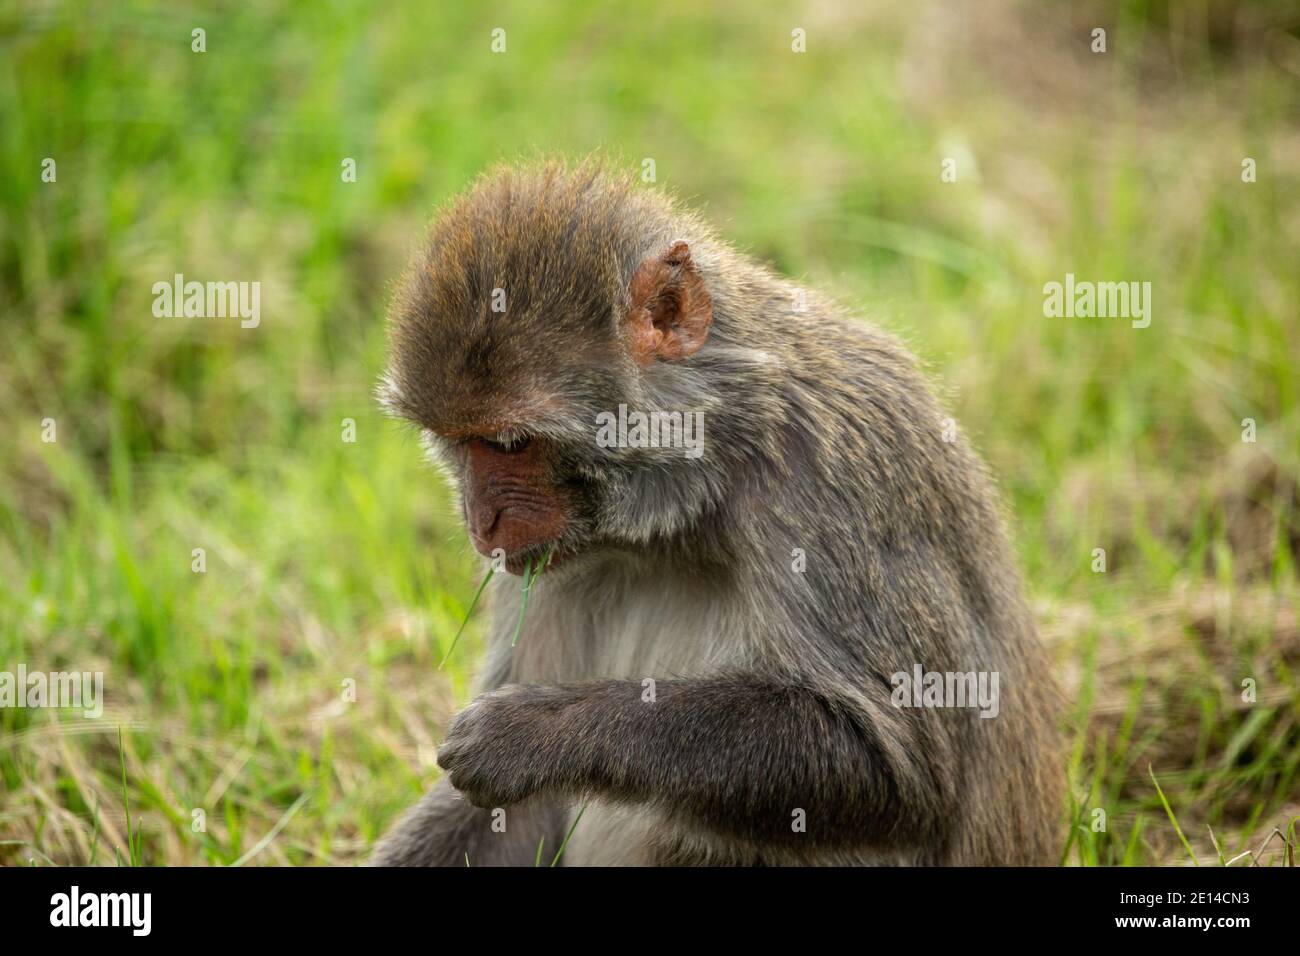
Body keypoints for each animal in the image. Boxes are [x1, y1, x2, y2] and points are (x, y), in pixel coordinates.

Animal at [370, 158, 1063, 866]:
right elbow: (517, 815)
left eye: (510, 444)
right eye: (458, 443)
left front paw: (534, 733)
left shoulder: (836, 483)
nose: (480, 523)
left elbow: (895, 768)